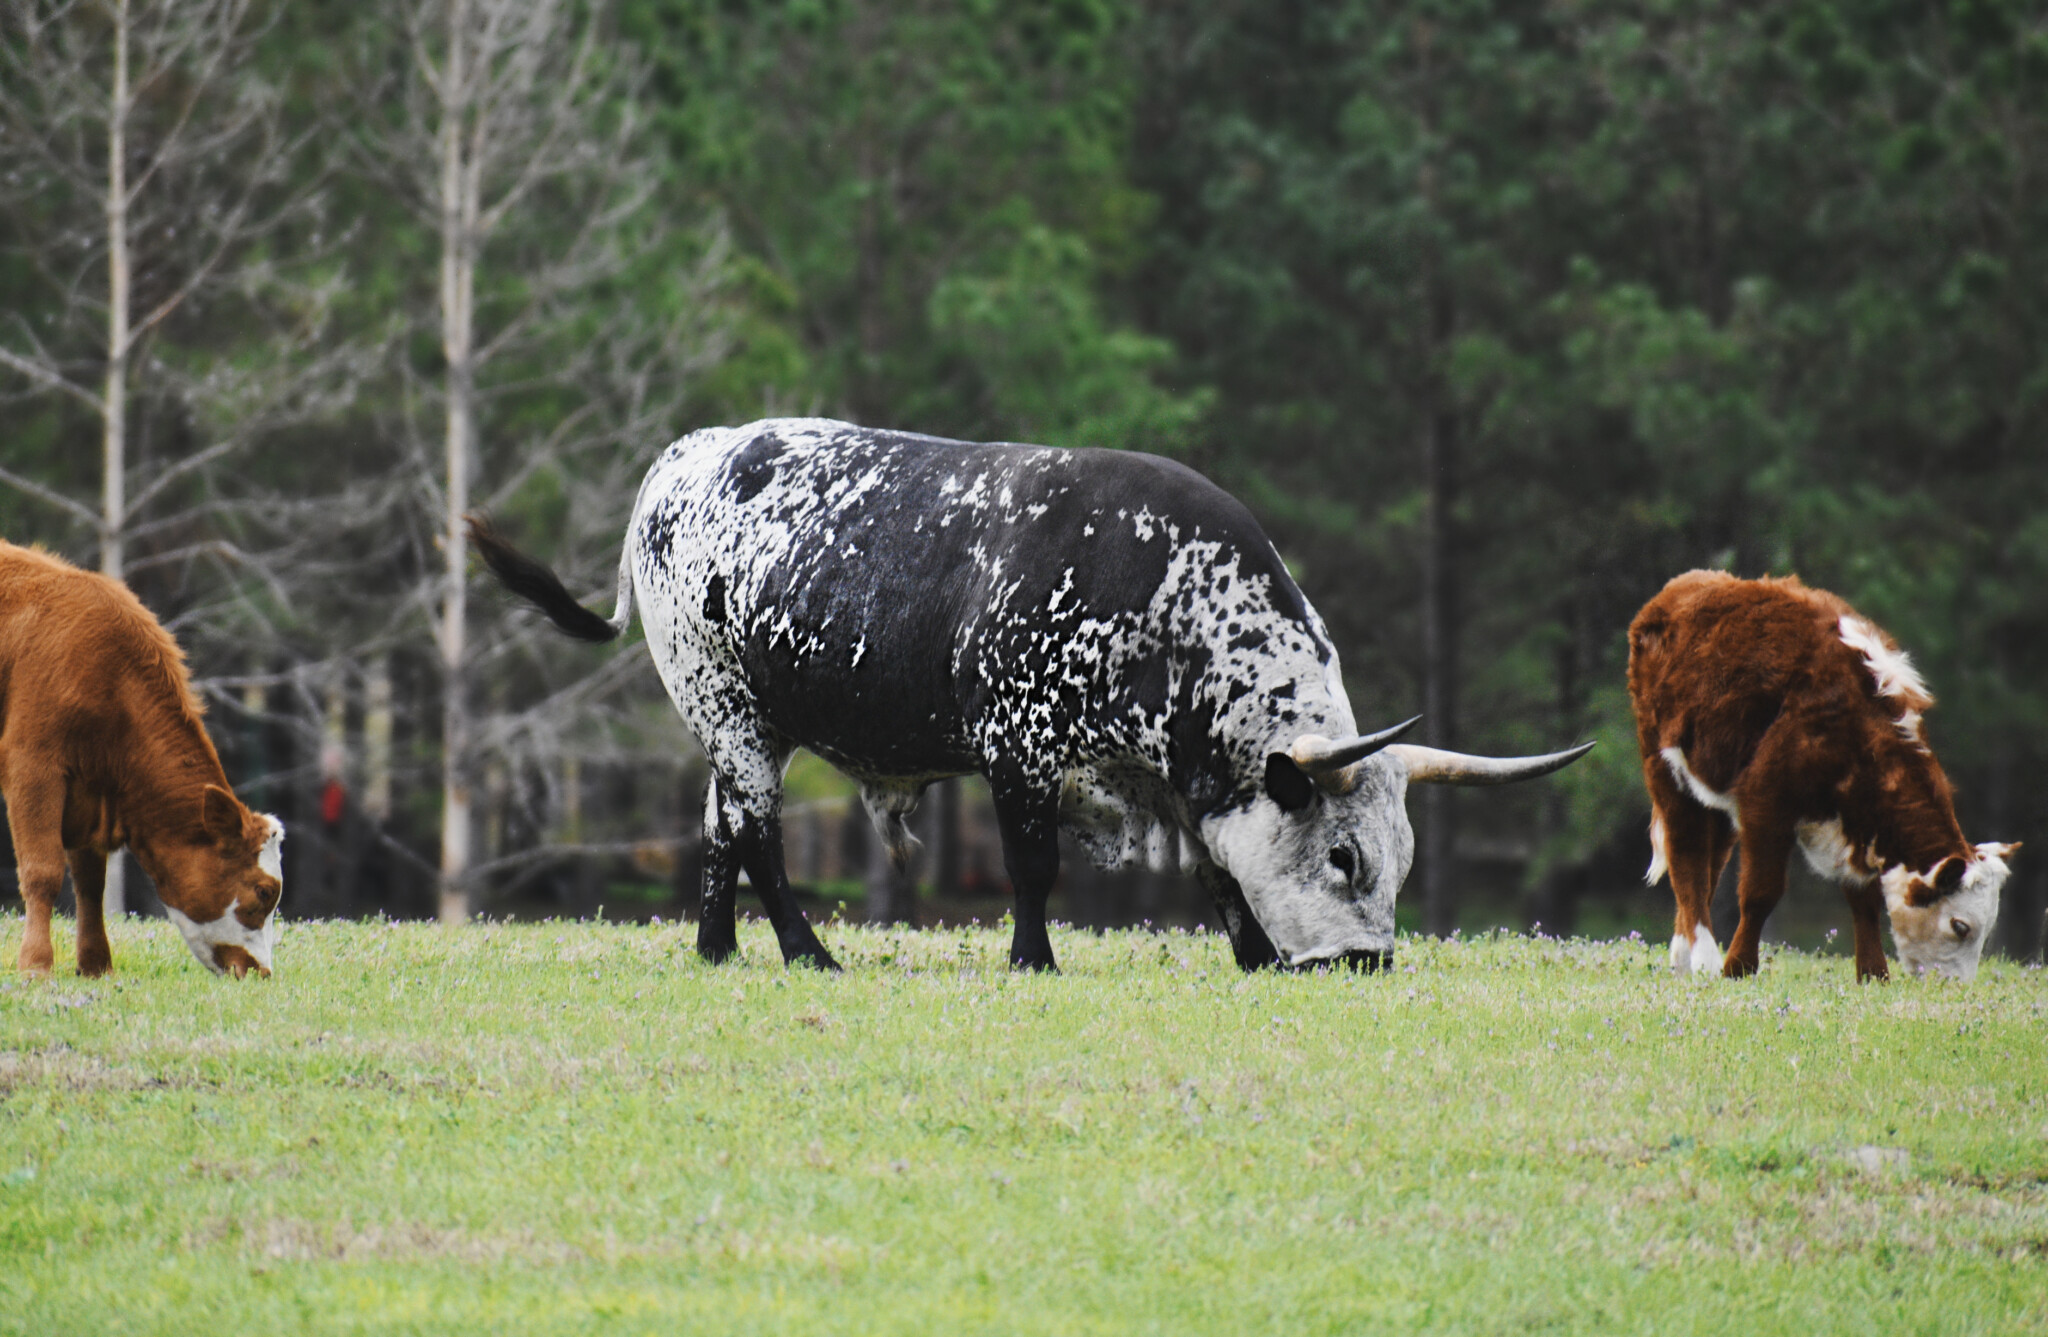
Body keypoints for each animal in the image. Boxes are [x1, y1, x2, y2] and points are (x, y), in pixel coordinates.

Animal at [1, 540, 284, 978]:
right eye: (264, 891)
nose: (261, 972)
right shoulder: (32, 767)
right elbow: (42, 871)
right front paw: (35, 966)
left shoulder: (91, 792)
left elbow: (91, 884)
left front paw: (96, 965)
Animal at [470, 418, 1592, 973]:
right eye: (1343, 854)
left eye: (1401, 858)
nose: (1367, 962)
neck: (1164, 598)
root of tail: (678, 459)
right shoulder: (1020, 747)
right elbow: (1033, 865)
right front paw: (1032, 957)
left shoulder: (1175, 778)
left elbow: (1218, 867)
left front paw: (1252, 954)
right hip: (727, 707)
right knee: (755, 833)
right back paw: (806, 951)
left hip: (743, 721)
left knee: (717, 830)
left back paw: (716, 949)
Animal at [1628, 570, 2016, 982]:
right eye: (1960, 925)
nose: (1956, 987)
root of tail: (1685, 584)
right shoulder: (1765, 799)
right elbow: (1760, 891)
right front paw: (1738, 967)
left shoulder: (1858, 825)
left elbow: (1864, 899)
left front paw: (1873, 975)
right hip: (1664, 766)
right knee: (1687, 854)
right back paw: (1704, 957)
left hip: (1714, 789)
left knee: (1710, 862)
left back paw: (1683, 957)